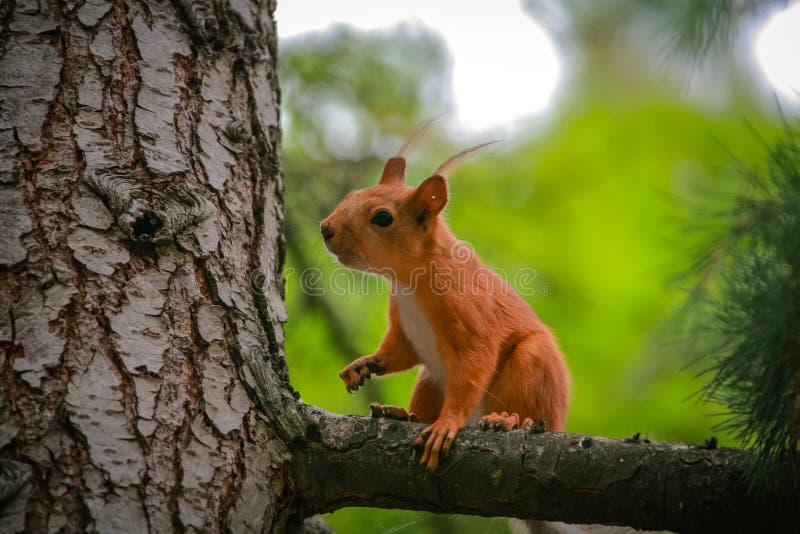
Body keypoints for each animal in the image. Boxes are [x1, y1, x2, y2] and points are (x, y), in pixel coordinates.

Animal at [321, 124, 570, 471]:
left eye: (382, 218)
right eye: (351, 195)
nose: (325, 228)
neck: (407, 283)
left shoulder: (467, 311)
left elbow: (473, 365)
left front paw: (446, 424)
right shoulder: (403, 326)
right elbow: (399, 352)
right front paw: (365, 363)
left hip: (535, 366)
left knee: (529, 408)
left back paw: (507, 420)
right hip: (430, 381)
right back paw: (400, 414)